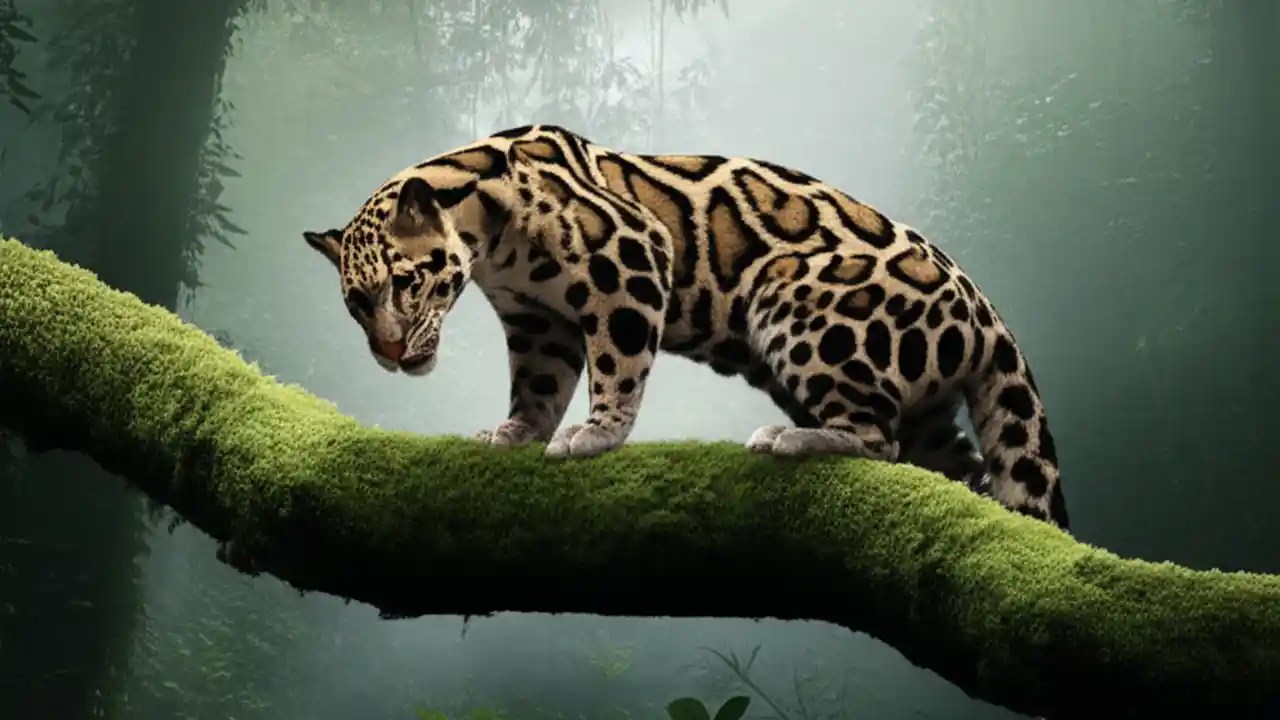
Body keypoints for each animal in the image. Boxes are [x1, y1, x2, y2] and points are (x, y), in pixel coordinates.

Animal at [302, 124, 1069, 529]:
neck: (489, 239)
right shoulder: (536, 320)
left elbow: (616, 365)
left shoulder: (629, 259)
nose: (391, 353)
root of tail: (987, 311)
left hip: (793, 297)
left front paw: (597, 433)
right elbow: (538, 387)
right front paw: (517, 432)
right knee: (961, 466)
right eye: (356, 305)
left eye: (406, 283)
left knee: (877, 438)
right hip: (926, 409)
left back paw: (795, 439)